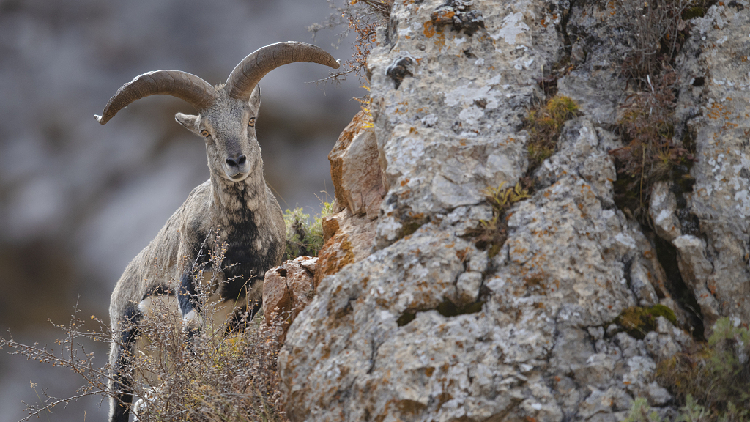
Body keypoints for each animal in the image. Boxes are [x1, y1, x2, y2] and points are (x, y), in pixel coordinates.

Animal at [95, 41, 339, 422]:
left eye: (250, 120)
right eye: (206, 131)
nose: (236, 161)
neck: (238, 242)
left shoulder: (254, 294)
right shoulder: (189, 278)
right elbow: (194, 327)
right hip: (125, 345)